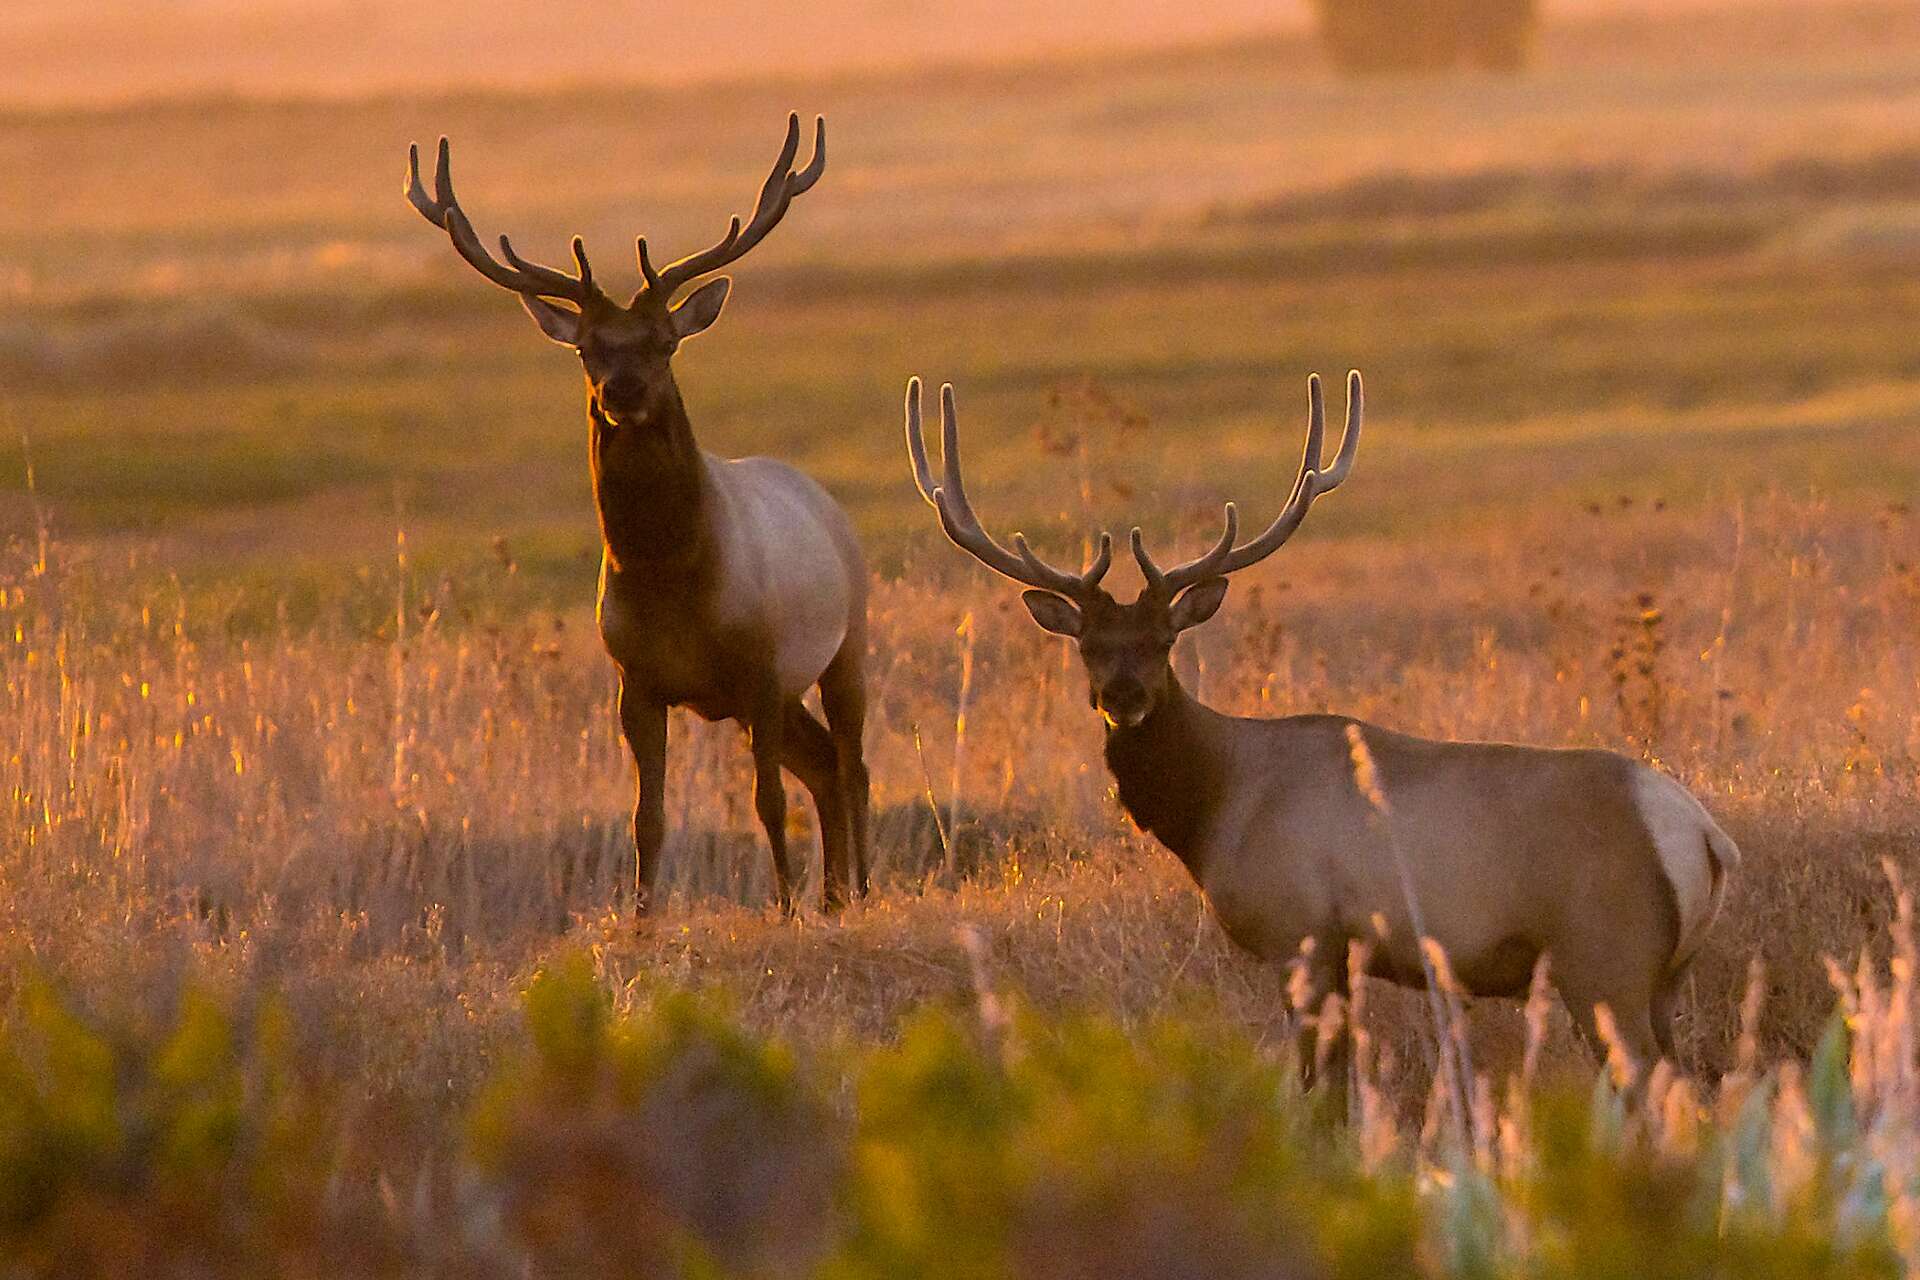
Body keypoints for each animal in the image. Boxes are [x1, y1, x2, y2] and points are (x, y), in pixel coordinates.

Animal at [405, 114, 870, 916]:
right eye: (588, 349)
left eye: (665, 341)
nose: (622, 391)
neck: (670, 576)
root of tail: (822, 498)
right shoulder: (636, 682)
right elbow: (645, 819)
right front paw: (644, 917)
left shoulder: (759, 666)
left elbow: (767, 801)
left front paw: (782, 907)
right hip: (779, 693)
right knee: (825, 767)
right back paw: (835, 897)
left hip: (849, 643)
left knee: (854, 765)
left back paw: (861, 888)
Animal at [906, 370, 1739, 1079]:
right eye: (1087, 644)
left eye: (1163, 640)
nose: (1124, 695)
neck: (1215, 808)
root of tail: (1704, 836)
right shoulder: (1344, 954)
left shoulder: (1302, 934)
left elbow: (1318, 1087)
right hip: (1662, 978)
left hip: (1606, 959)